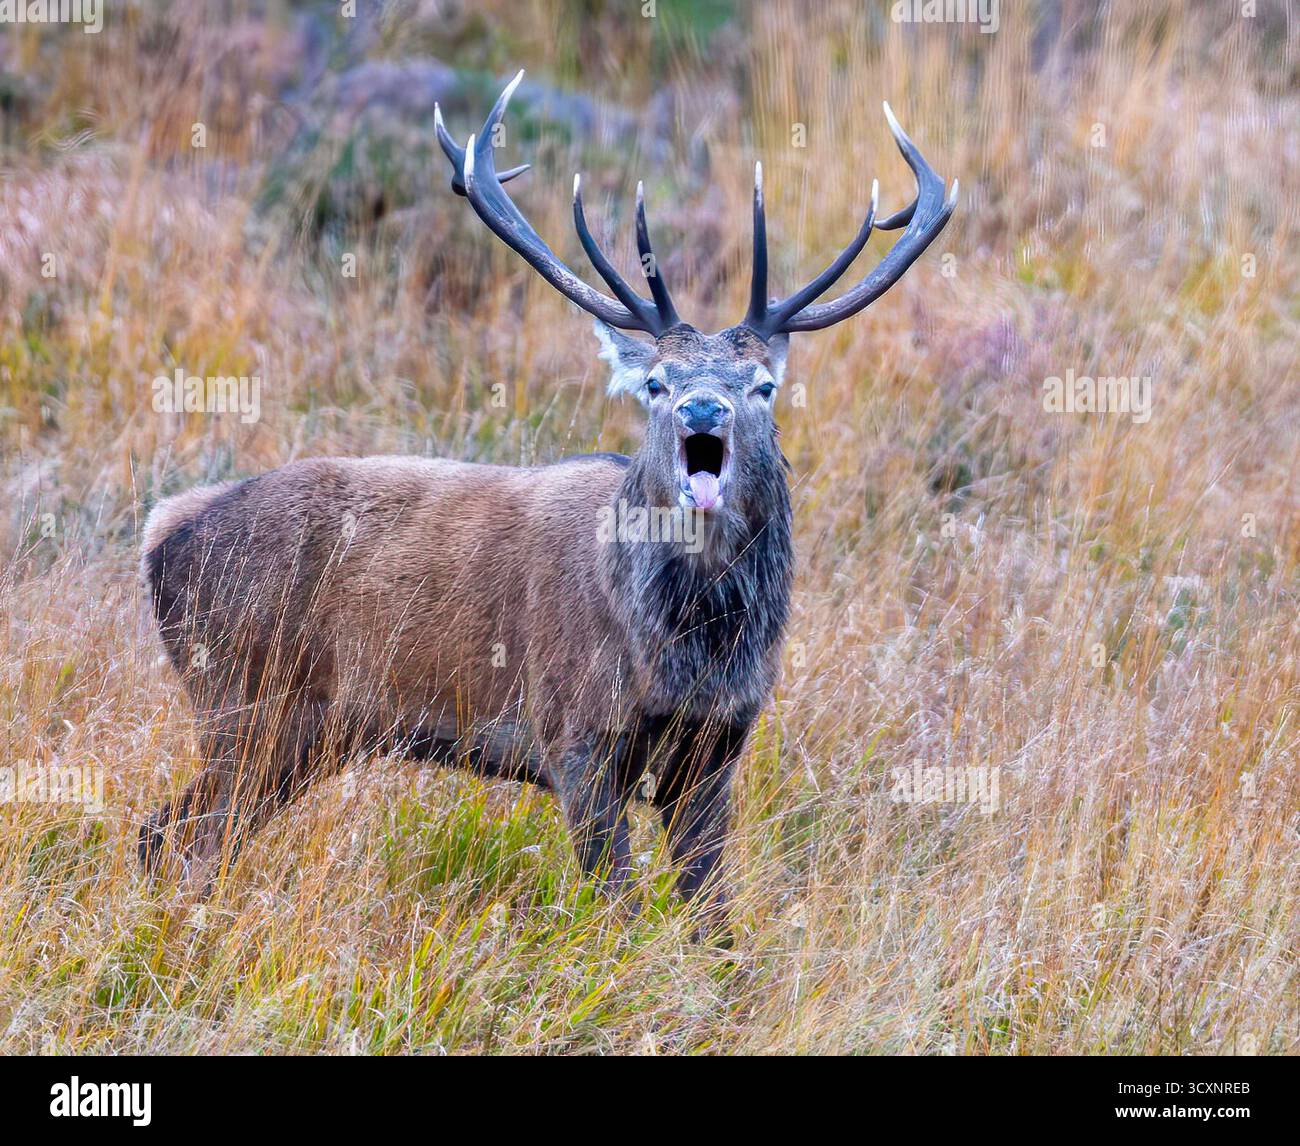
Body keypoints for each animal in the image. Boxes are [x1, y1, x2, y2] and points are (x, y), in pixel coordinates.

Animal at [138, 70, 956, 938]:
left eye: (763, 385)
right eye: (656, 381)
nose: (703, 409)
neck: (693, 650)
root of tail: (161, 530)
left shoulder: (717, 752)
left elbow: (716, 925)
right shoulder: (576, 738)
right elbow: (618, 913)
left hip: (297, 736)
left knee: (173, 836)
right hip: (243, 704)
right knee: (171, 837)